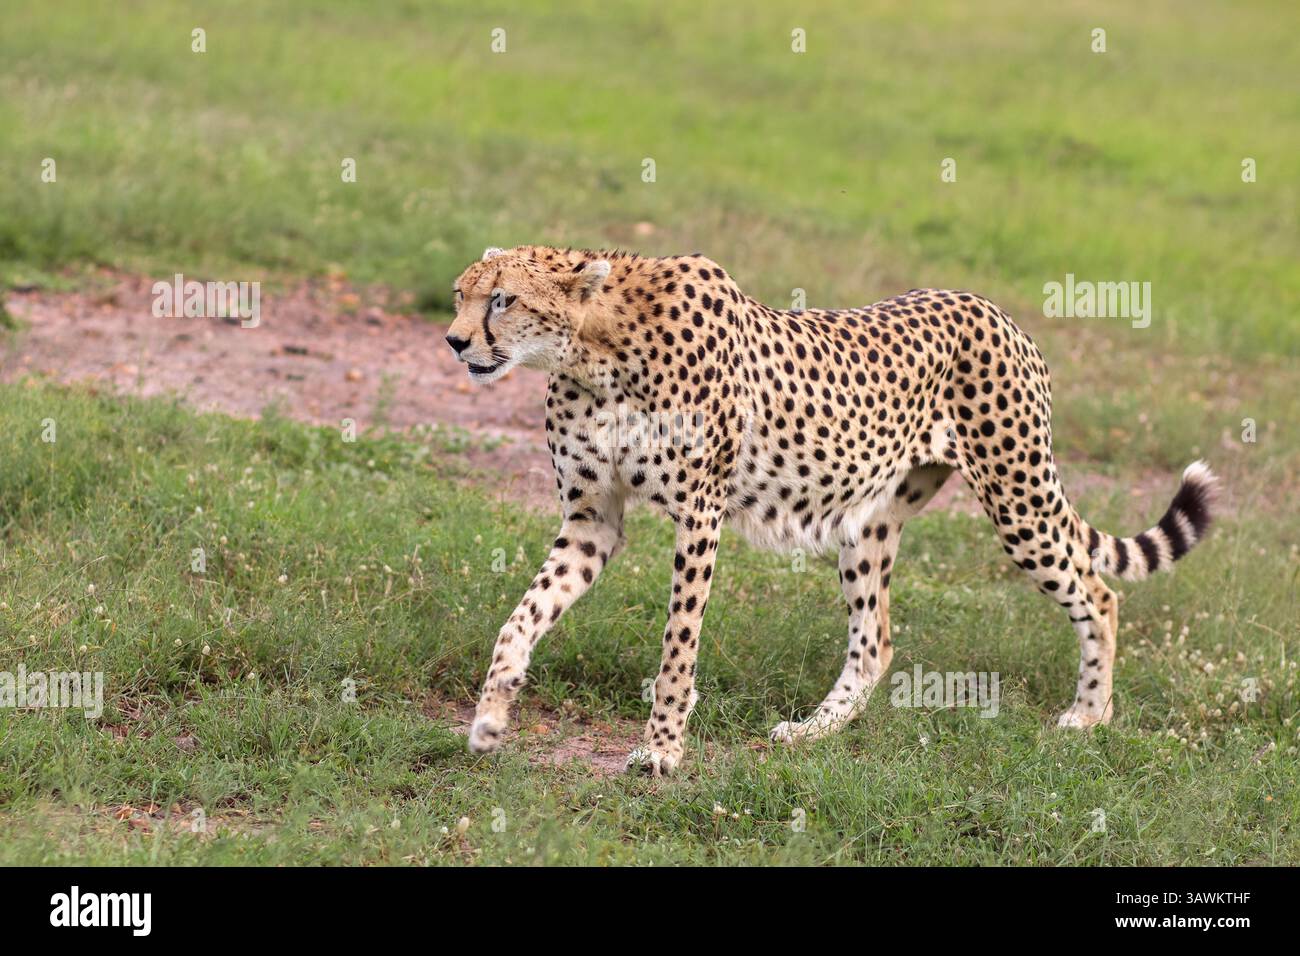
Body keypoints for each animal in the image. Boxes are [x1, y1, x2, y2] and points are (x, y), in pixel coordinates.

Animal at [443, 245, 1219, 776]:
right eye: (459, 295)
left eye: (503, 300)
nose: (454, 340)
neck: (594, 350)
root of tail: (995, 310)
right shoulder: (591, 519)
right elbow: (521, 617)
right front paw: (491, 716)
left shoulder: (699, 516)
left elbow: (677, 647)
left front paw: (661, 750)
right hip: (869, 521)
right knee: (875, 639)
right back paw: (814, 731)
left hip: (1017, 495)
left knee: (1099, 593)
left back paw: (1090, 715)